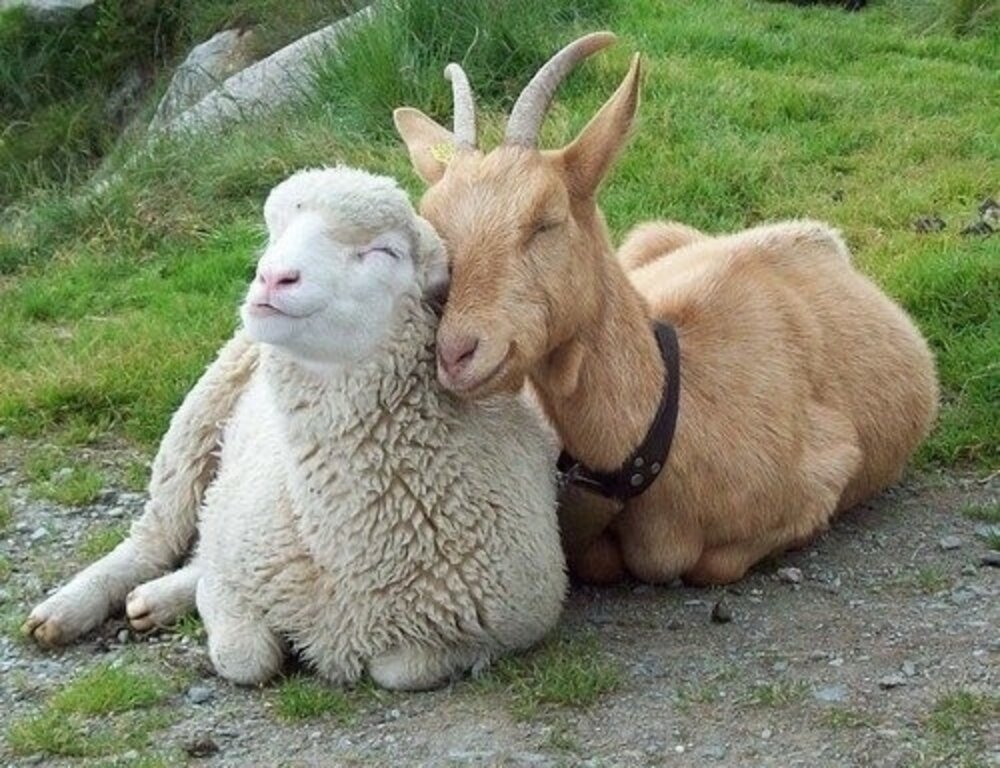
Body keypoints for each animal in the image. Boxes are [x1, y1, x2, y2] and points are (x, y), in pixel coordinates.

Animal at [25, 166, 567, 690]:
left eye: (385, 251)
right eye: (275, 232)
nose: (271, 278)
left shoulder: (511, 622)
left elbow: (398, 670)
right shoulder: (231, 567)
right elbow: (245, 655)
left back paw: (154, 600)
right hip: (197, 419)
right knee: (152, 537)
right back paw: (67, 609)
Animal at [392, 33, 939, 586]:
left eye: (546, 220)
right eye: (433, 223)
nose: (456, 353)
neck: (676, 416)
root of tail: (821, 236)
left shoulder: (830, 471)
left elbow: (713, 564)